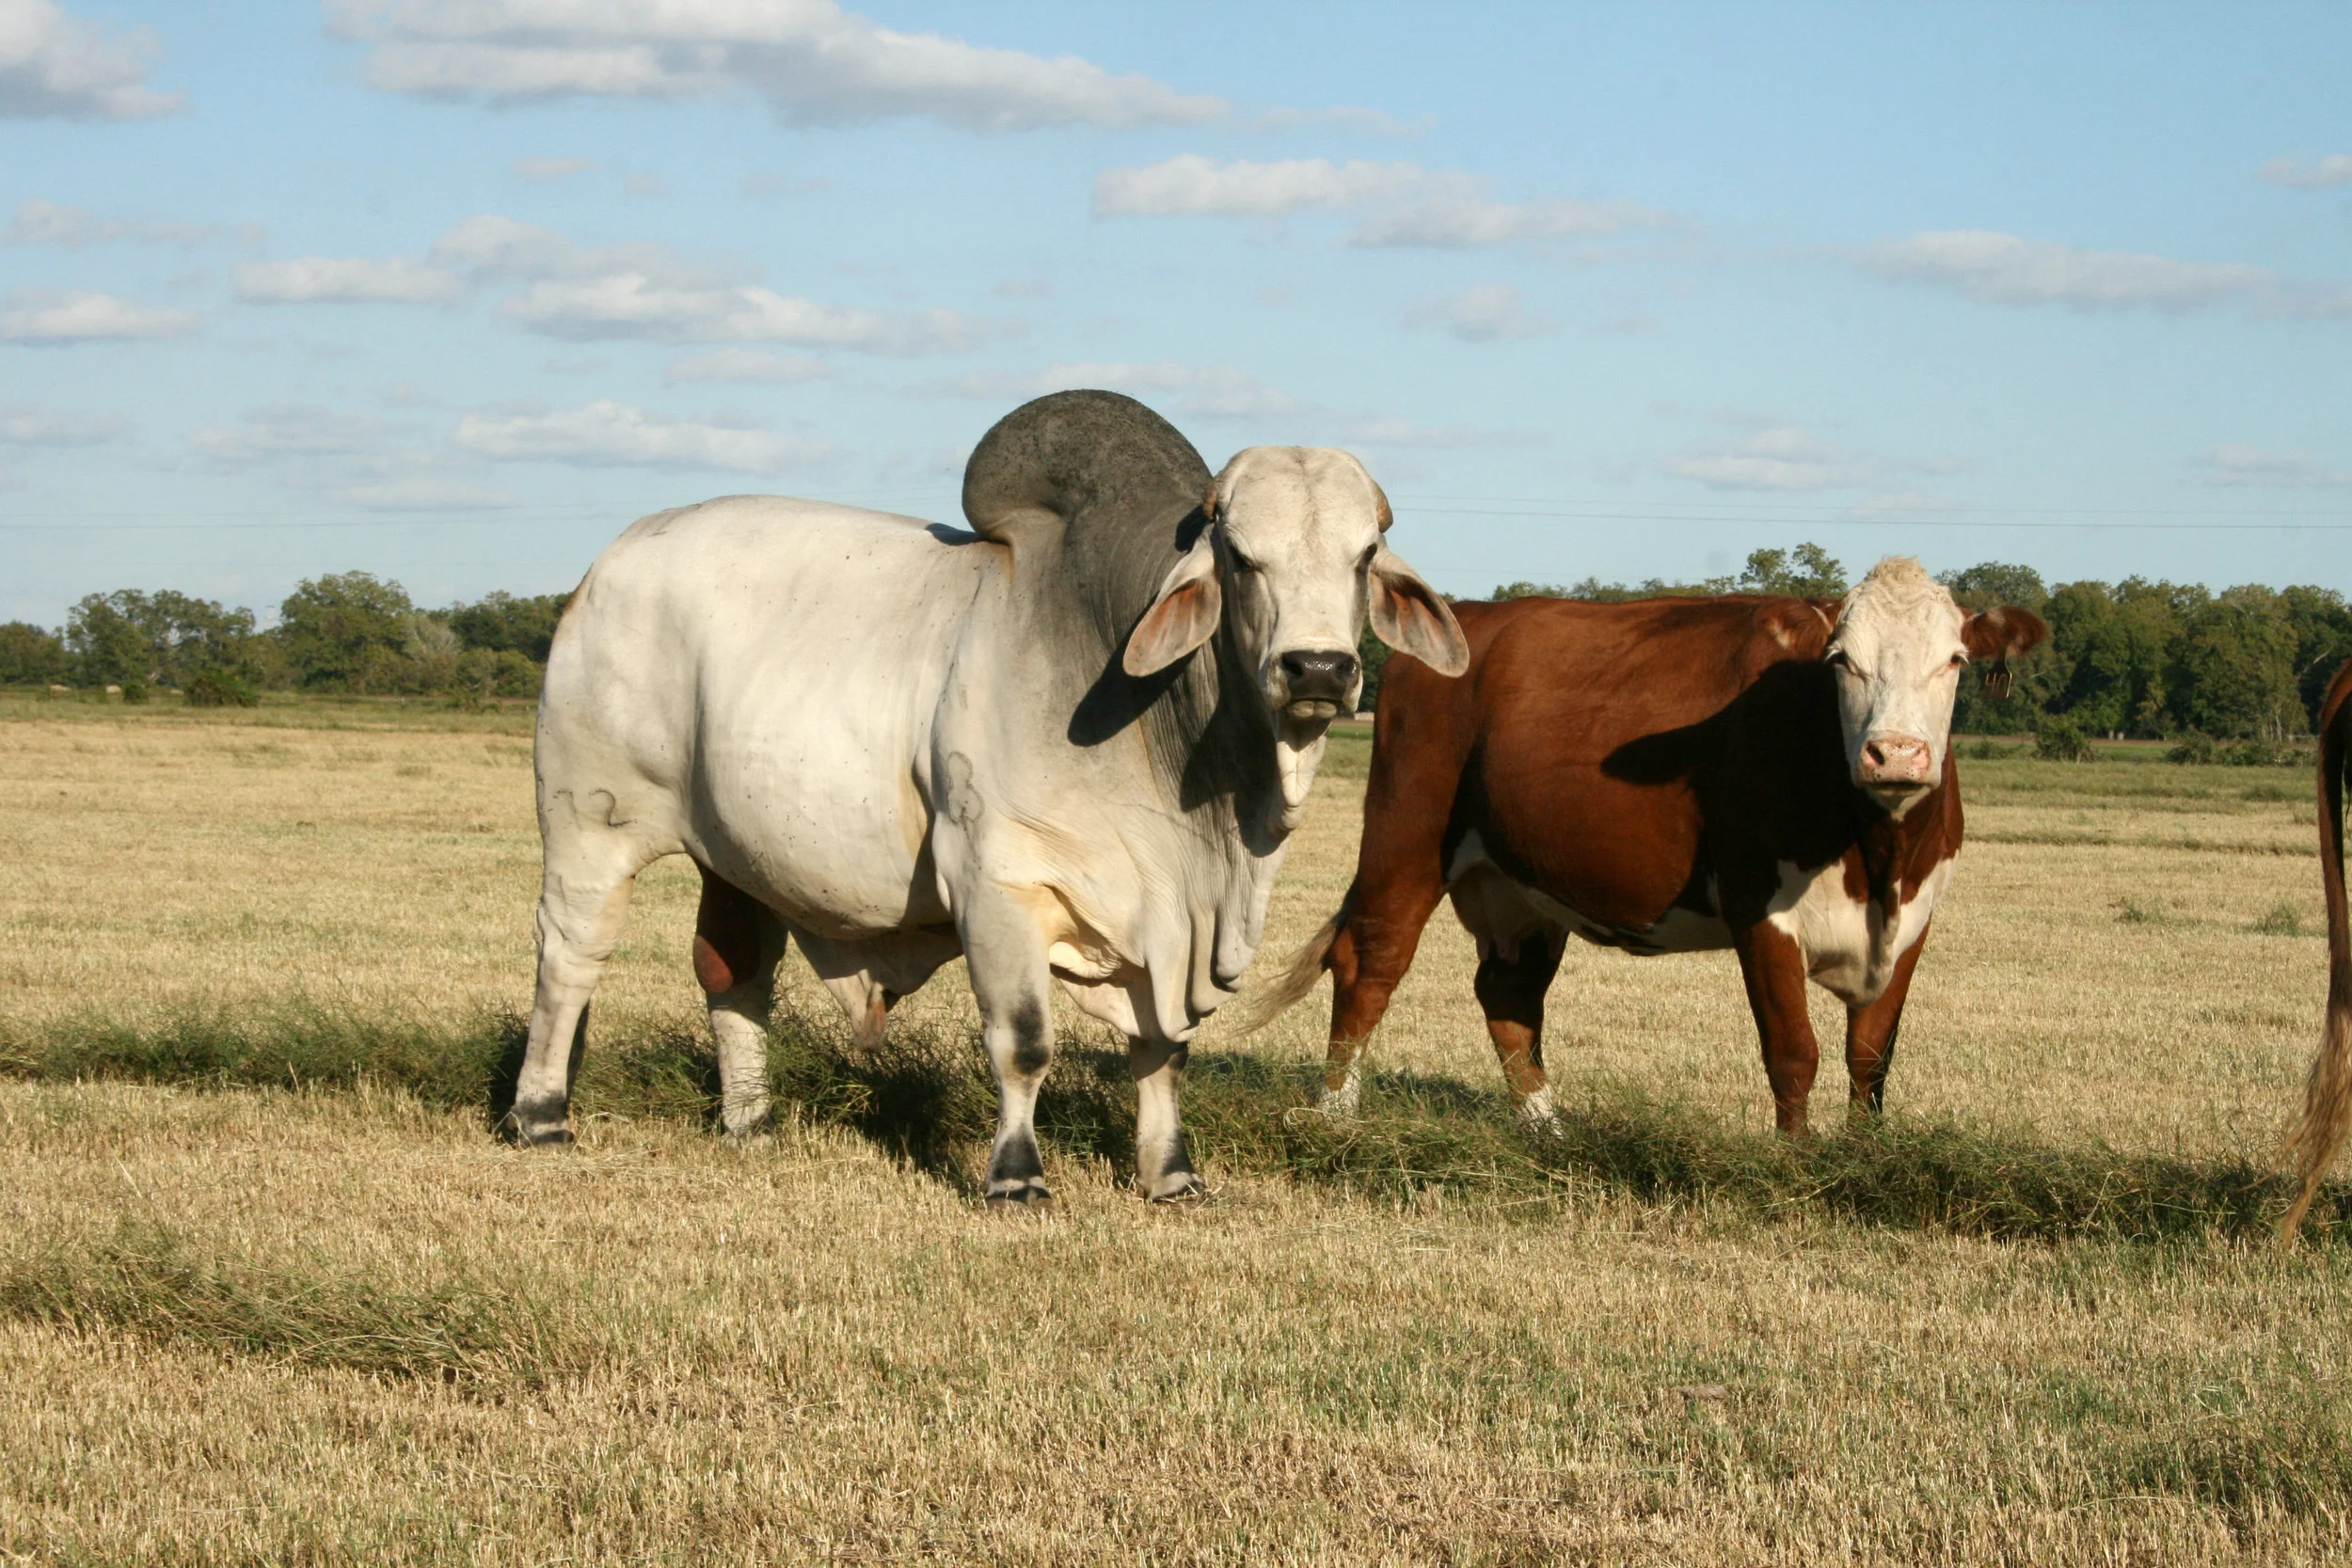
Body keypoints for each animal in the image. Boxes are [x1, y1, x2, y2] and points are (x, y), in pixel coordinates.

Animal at [510, 390, 1469, 1205]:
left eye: (1364, 554)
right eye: (1241, 556)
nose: (1319, 669)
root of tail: (608, 564)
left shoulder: (1168, 933)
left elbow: (1162, 1050)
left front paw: (1171, 1175)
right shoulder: (999, 885)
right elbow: (1024, 1041)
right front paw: (1015, 1175)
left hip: (733, 853)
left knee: (734, 967)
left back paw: (752, 1122)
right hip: (588, 821)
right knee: (569, 957)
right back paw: (541, 1114)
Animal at [1244, 557, 2046, 1135]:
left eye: (1954, 660)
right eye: (1842, 661)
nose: (1896, 753)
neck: (1877, 856)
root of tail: (1469, 617)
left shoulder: (1912, 920)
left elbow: (1870, 1058)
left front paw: (1864, 1160)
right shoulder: (1760, 907)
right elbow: (1794, 1052)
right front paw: (1798, 1164)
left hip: (1520, 884)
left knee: (1509, 994)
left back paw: (1550, 1133)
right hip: (1407, 833)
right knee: (1370, 961)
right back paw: (1336, 1117)